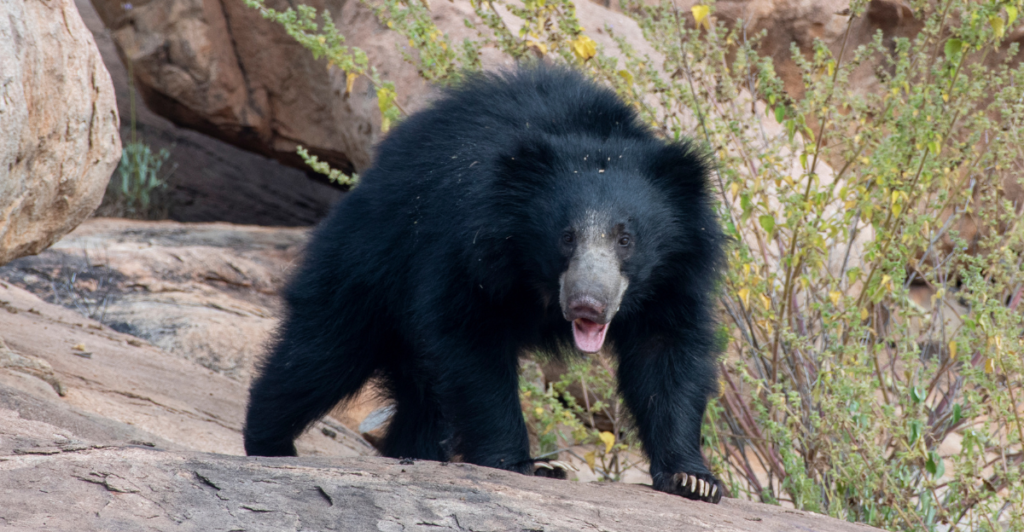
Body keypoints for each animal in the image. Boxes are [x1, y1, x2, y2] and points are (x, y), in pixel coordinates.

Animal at [243, 66, 725, 503]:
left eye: (626, 239)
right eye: (566, 236)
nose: (587, 305)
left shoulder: (677, 276)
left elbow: (666, 355)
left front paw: (693, 480)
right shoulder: (469, 250)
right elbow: (472, 343)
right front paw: (520, 465)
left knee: (418, 399)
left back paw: (410, 455)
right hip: (371, 259)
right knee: (321, 353)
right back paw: (270, 444)